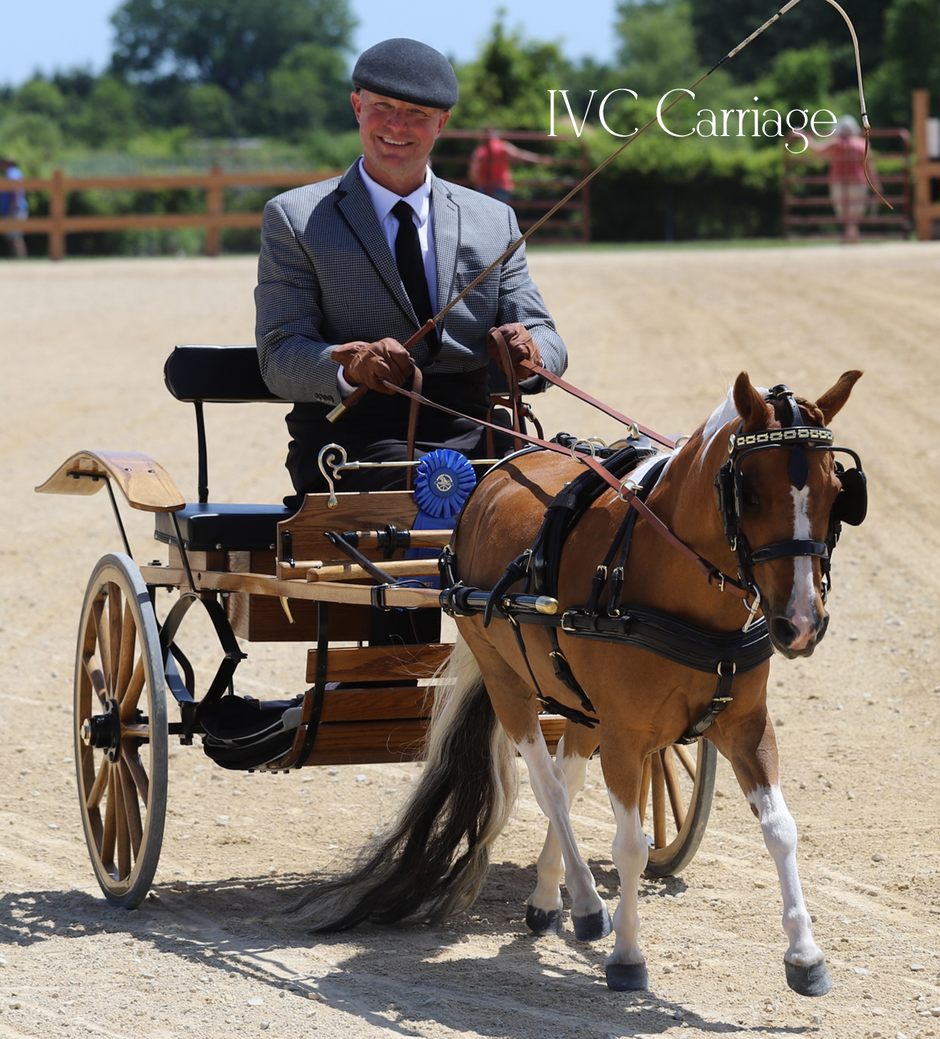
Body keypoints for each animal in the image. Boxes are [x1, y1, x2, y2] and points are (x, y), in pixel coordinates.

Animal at [302, 370, 865, 997]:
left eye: (836, 492)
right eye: (752, 493)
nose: (801, 623)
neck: (664, 573)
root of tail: (495, 472)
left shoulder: (746, 726)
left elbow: (780, 828)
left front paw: (805, 954)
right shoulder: (626, 736)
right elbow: (628, 845)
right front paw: (626, 955)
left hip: (579, 700)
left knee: (566, 776)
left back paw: (550, 897)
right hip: (508, 682)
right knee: (548, 784)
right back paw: (590, 905)